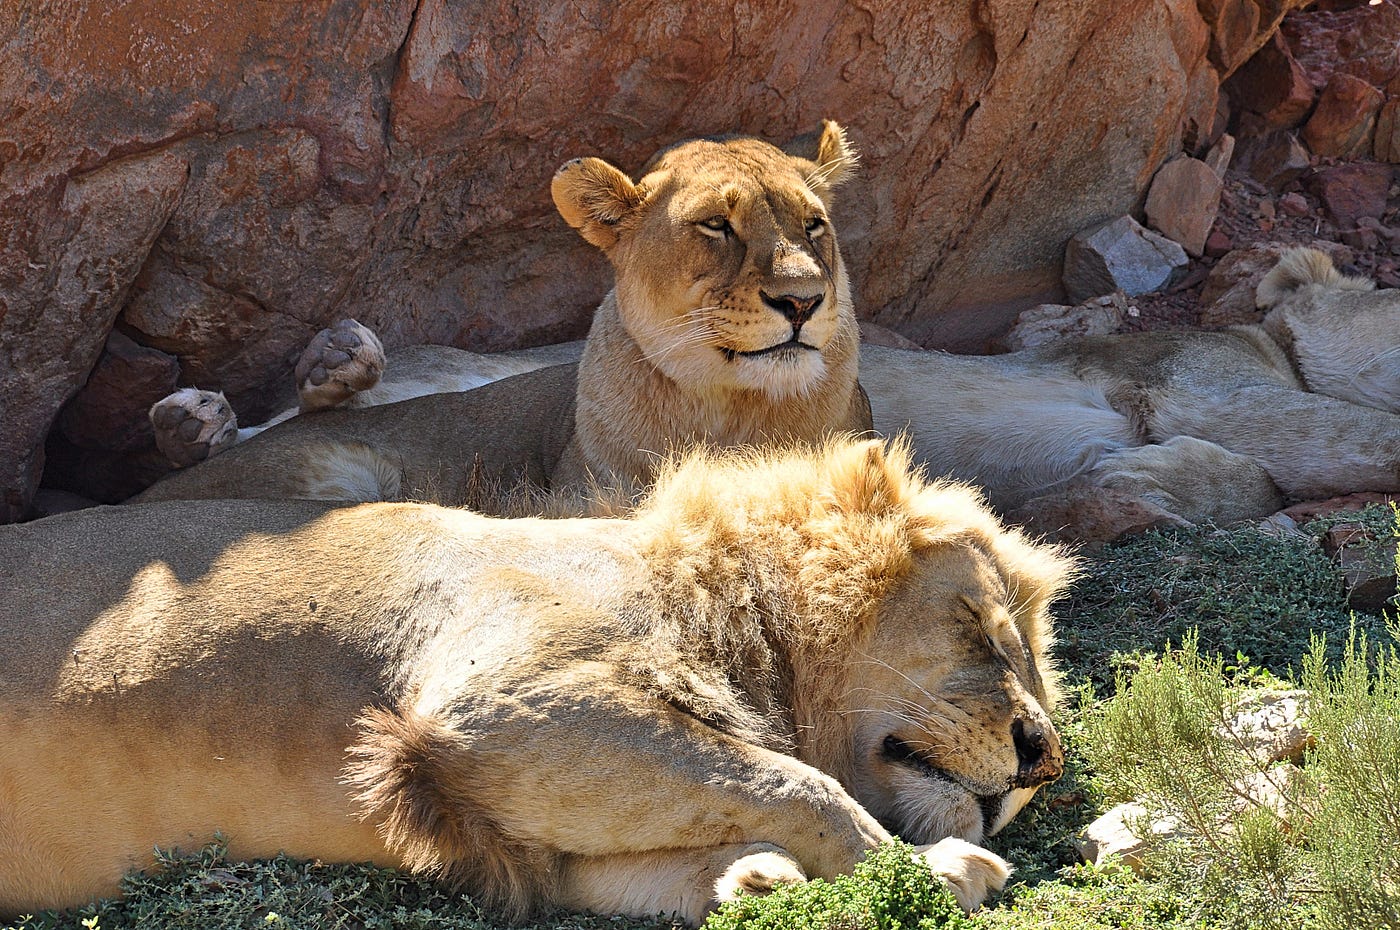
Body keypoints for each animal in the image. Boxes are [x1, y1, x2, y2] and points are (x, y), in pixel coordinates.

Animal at [0, 438, 1073, 923]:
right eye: (983, 629)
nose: (1040, 763)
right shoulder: (499, 704)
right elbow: (795, 781)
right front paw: (934, 870)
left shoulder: (523, 818)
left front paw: (753, 877)